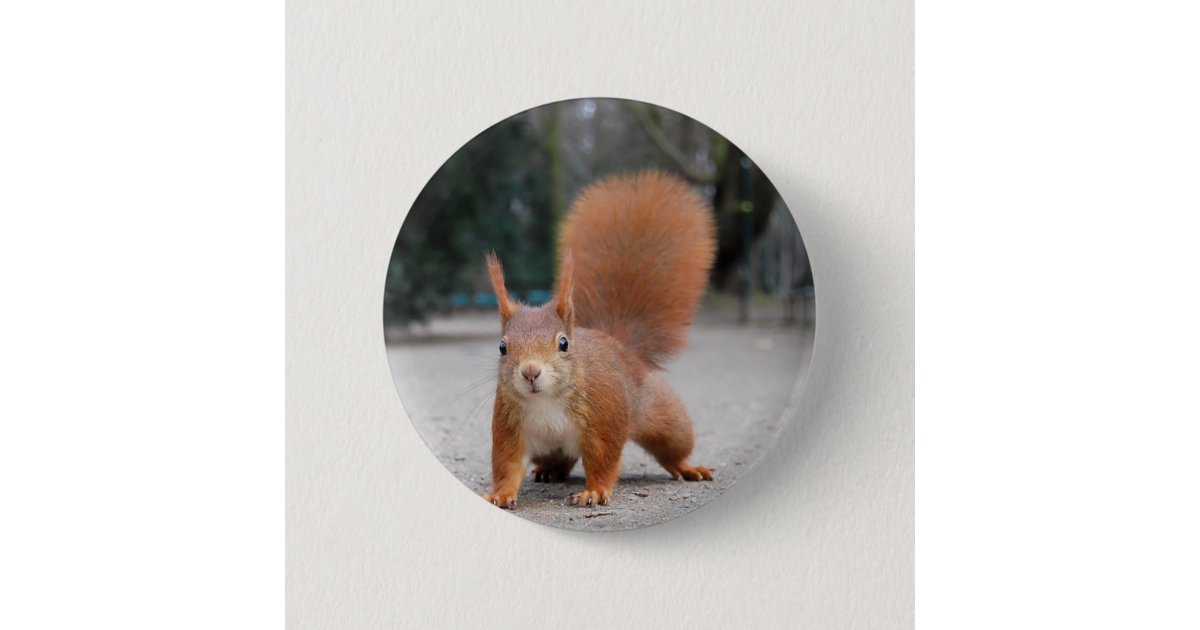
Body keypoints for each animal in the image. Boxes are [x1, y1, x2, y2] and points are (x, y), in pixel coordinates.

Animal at [482, 171, 717, 509]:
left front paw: (594, 491)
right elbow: (507, 464)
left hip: (665, 417)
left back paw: (688, 467)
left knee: (673, 447)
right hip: (548, 448)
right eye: (502, 346)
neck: (546, 401)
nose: (530, 372)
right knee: (560, 459)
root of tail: (618, 344)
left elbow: (602, 459)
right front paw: (500, 494)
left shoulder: (603, 418)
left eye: (564, 343)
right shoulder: (508, 426)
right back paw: (549, 471)